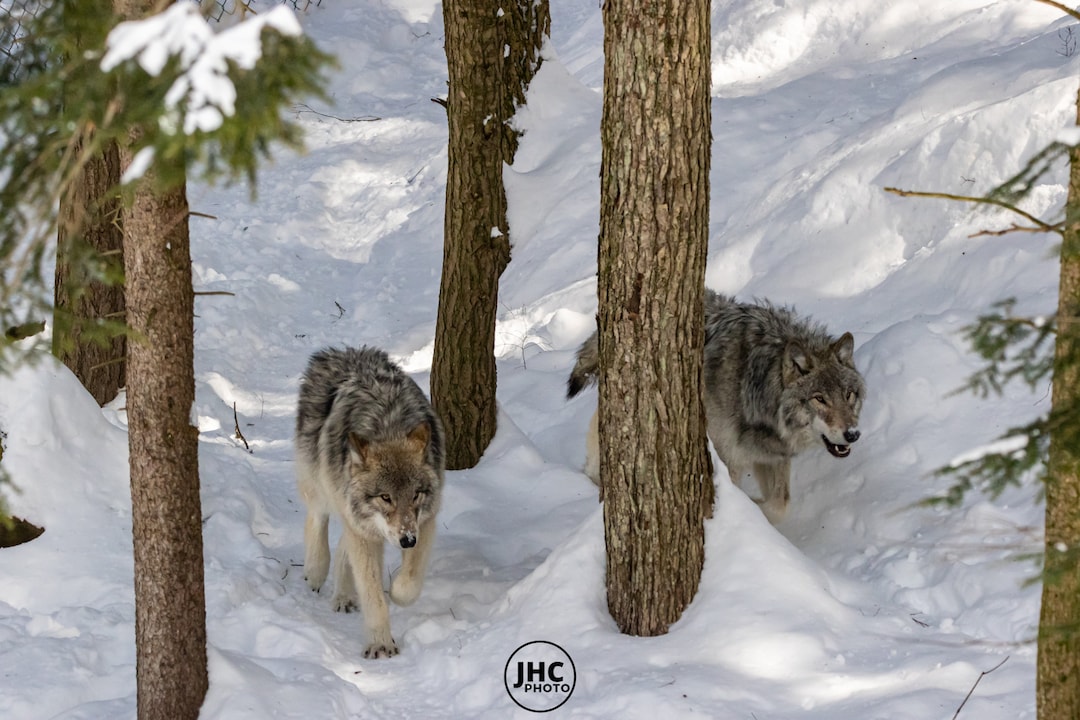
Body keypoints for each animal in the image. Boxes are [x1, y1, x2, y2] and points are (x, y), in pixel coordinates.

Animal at [295, 346, 445, 659]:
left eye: (415, 494)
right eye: (385, 497)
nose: (407, 541)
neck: (388, 425)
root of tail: (345, 351)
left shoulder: (425, 521)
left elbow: (409, 583)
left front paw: (397, 594)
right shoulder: (366, 531)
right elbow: (373, 597)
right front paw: (380, 644)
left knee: (344, 543)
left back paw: (343, 595)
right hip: (320, 485)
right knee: (317, 518)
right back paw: (315, 571)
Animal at [567, 290, 865, 524]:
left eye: (849, 395)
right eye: (820, 399)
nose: (852, 434)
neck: (752, 385)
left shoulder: (772, 456)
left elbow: (780, 506)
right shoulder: (727, 458)